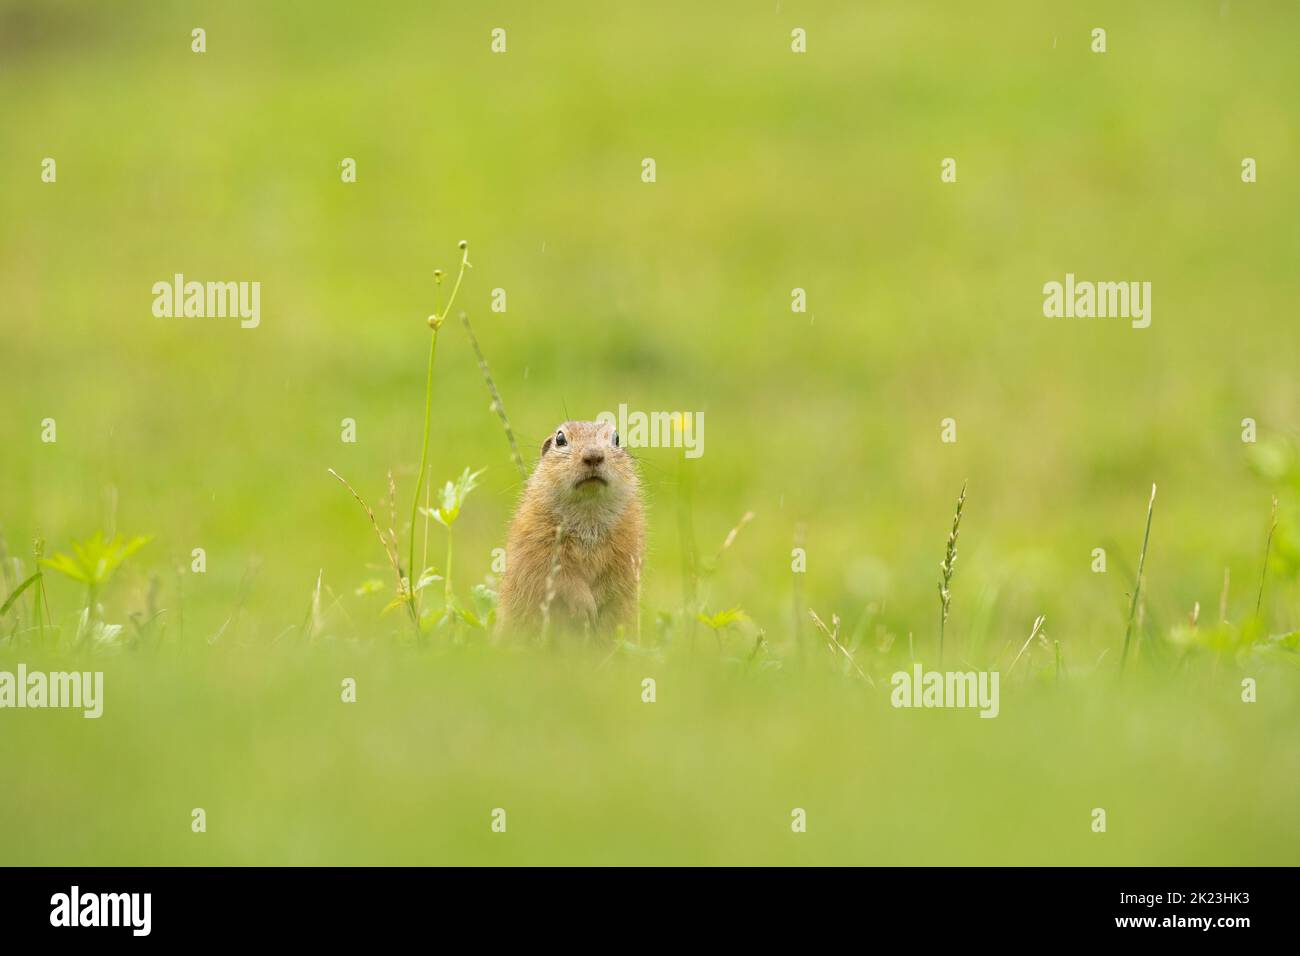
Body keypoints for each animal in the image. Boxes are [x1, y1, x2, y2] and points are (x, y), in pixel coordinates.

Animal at [496, 420, 644, 637]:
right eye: (560, 438)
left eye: (617, 439)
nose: (593, 455)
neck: (588, 509)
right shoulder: (537, 534)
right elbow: (555, 572)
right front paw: (585, 605)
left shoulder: (628, 538)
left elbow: (617, 575)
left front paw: (597, 601)